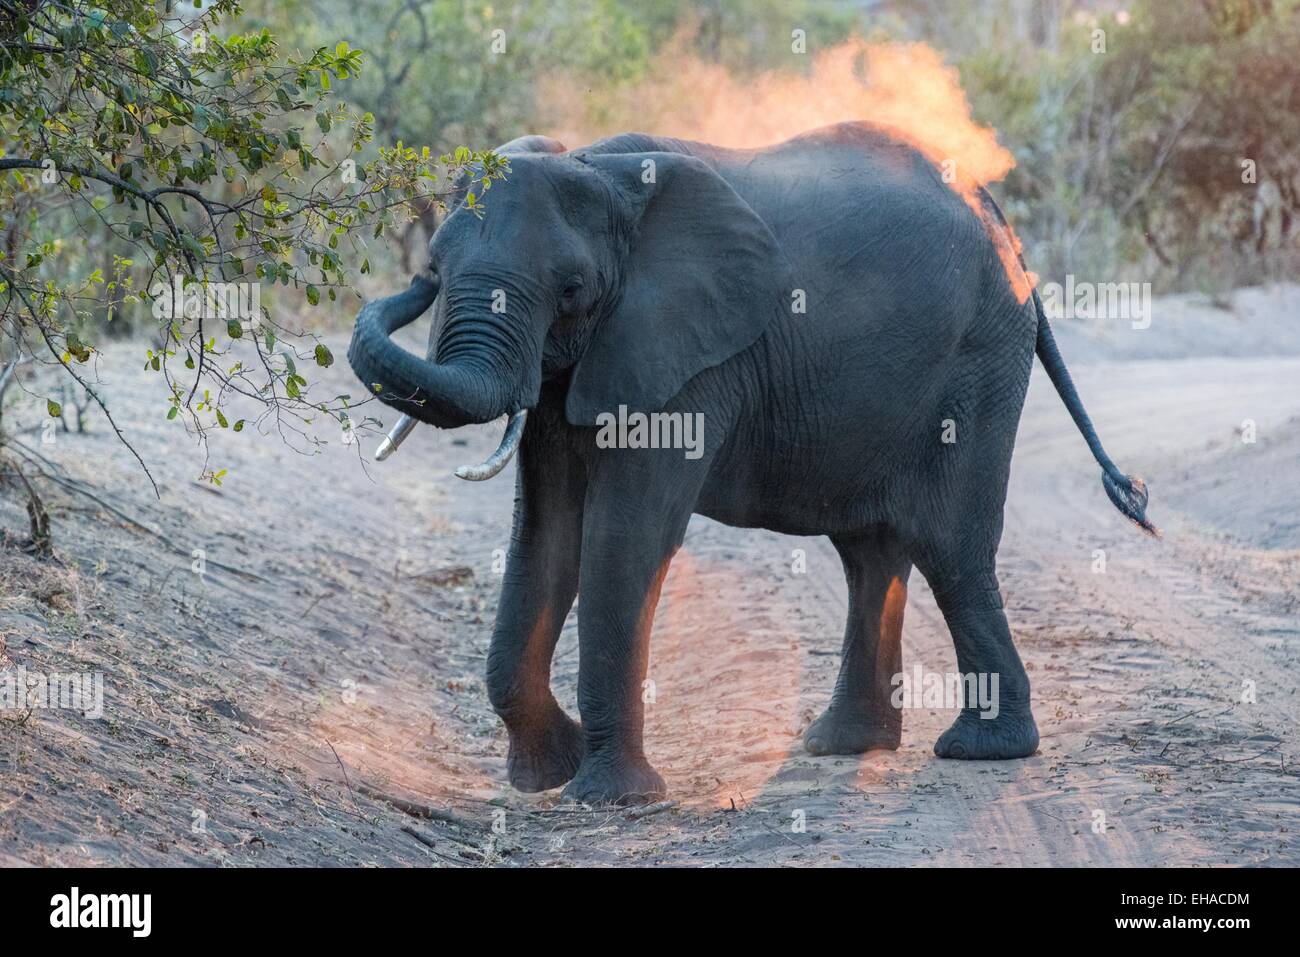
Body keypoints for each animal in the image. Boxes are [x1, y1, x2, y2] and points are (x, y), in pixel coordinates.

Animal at [347, 122, 1156, 805]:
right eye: (438, 267)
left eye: (571, 289)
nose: (412, 283)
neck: (600, 170)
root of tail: (997, 216)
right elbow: (543, 537)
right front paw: (544, 777)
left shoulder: (691, 358)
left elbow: (624, 536)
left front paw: (610, 798)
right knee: (871, 554)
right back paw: (843, 745)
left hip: (979, 362)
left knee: (951, 550)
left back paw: (984, 751)